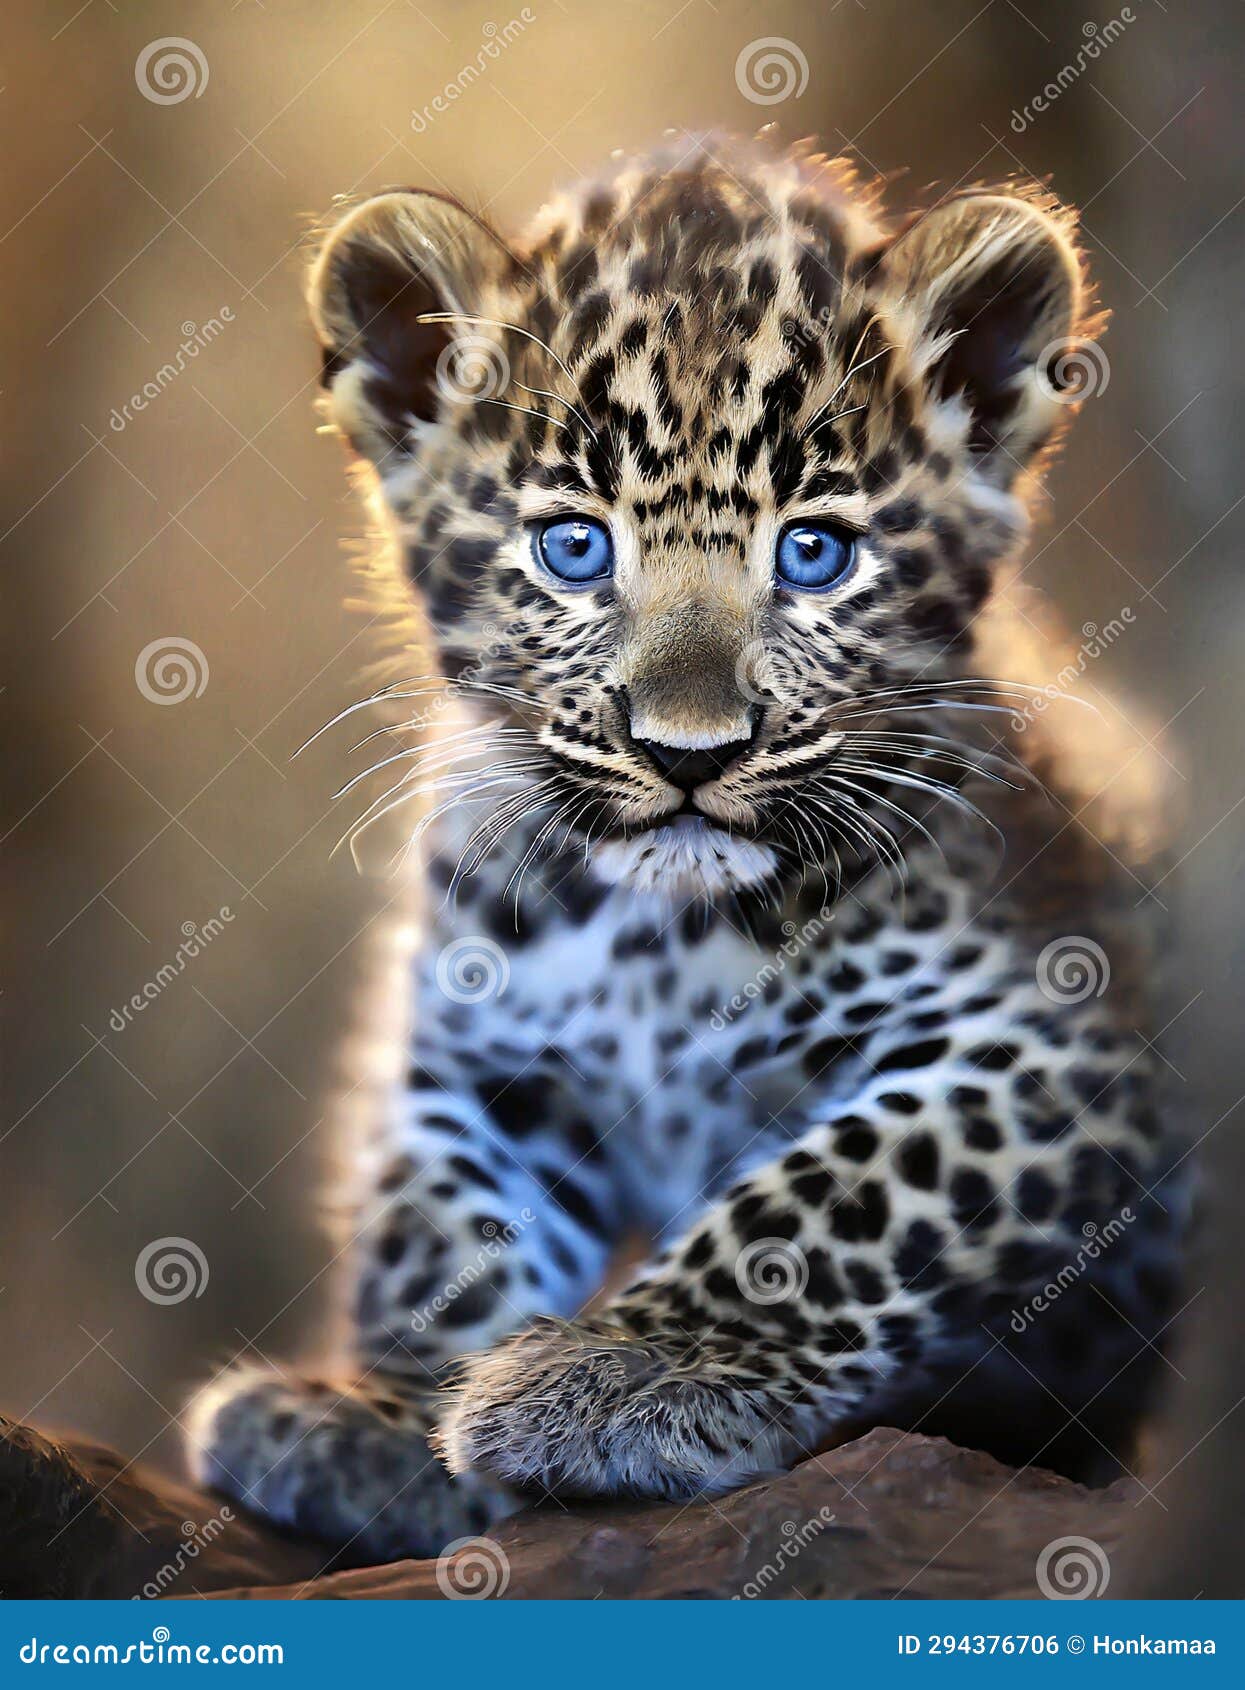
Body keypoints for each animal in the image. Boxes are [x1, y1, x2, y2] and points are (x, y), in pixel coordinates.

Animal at [185, 135, 1189, 1566]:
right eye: (573, 546)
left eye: (814, 553)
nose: (689, 751)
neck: (657, 938)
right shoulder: (472, 1046)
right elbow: (432, 1217)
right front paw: (380, 1417)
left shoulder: (1051, 1043)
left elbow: (832, 1194)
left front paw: (631, 1373)